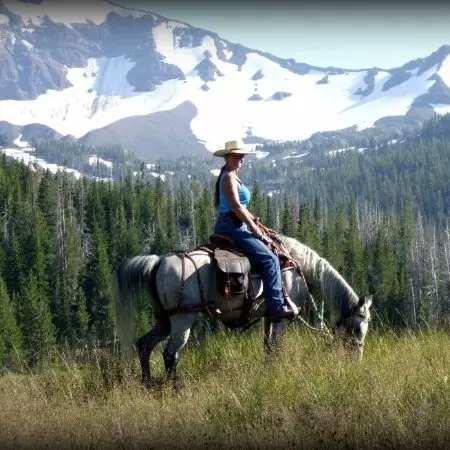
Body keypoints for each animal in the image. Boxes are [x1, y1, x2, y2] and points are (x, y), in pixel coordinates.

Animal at [114, 236, 370, 386]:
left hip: (164, 320)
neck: (295, 268)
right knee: (170, 353)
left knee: (145, 345)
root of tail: (158, 262)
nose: (358, 358)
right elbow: (276, 348)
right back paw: (174, 386)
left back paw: (147, 384)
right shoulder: (283, 318)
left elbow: (268, 349)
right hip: (181, 319)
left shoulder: (270, 317)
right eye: (358, 328)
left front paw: (267, 373)